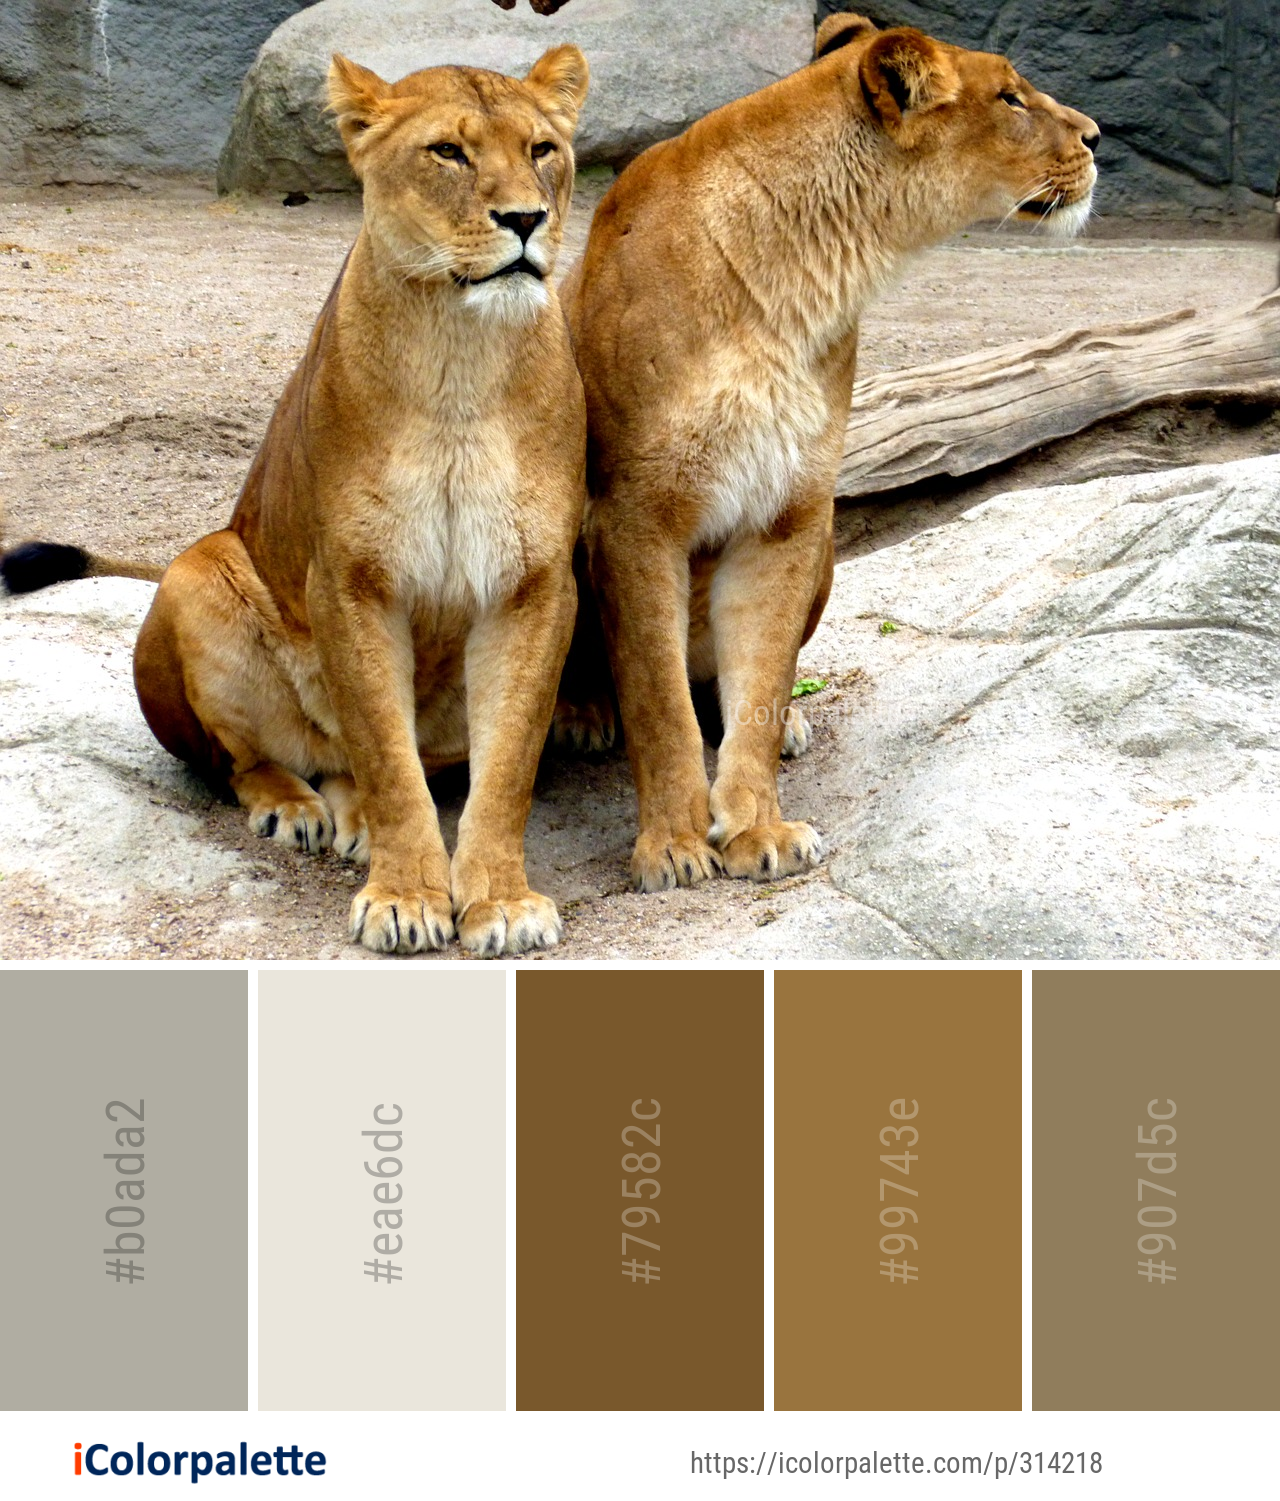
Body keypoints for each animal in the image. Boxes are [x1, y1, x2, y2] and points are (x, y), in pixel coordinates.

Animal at [125, 45, 590, 956]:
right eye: (449, 152)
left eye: (542, 149)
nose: (526, 219)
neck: (461, 358)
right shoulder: (351, 580)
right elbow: (383, 749)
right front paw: (406, 896)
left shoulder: (535, 583)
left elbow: (509, 758)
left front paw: (500, 899)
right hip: (198, 569)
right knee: (251, 759)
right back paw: (299, 809)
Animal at [554, 13, 1099, 893]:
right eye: (1010, 97)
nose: (1096, 136)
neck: (802, 275)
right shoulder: (635, 518)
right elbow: (657, 700)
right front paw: (671, 844)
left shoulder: (789, 514)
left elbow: (763, 679)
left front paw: (756, 825)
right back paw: (579, 714)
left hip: (829, 551)